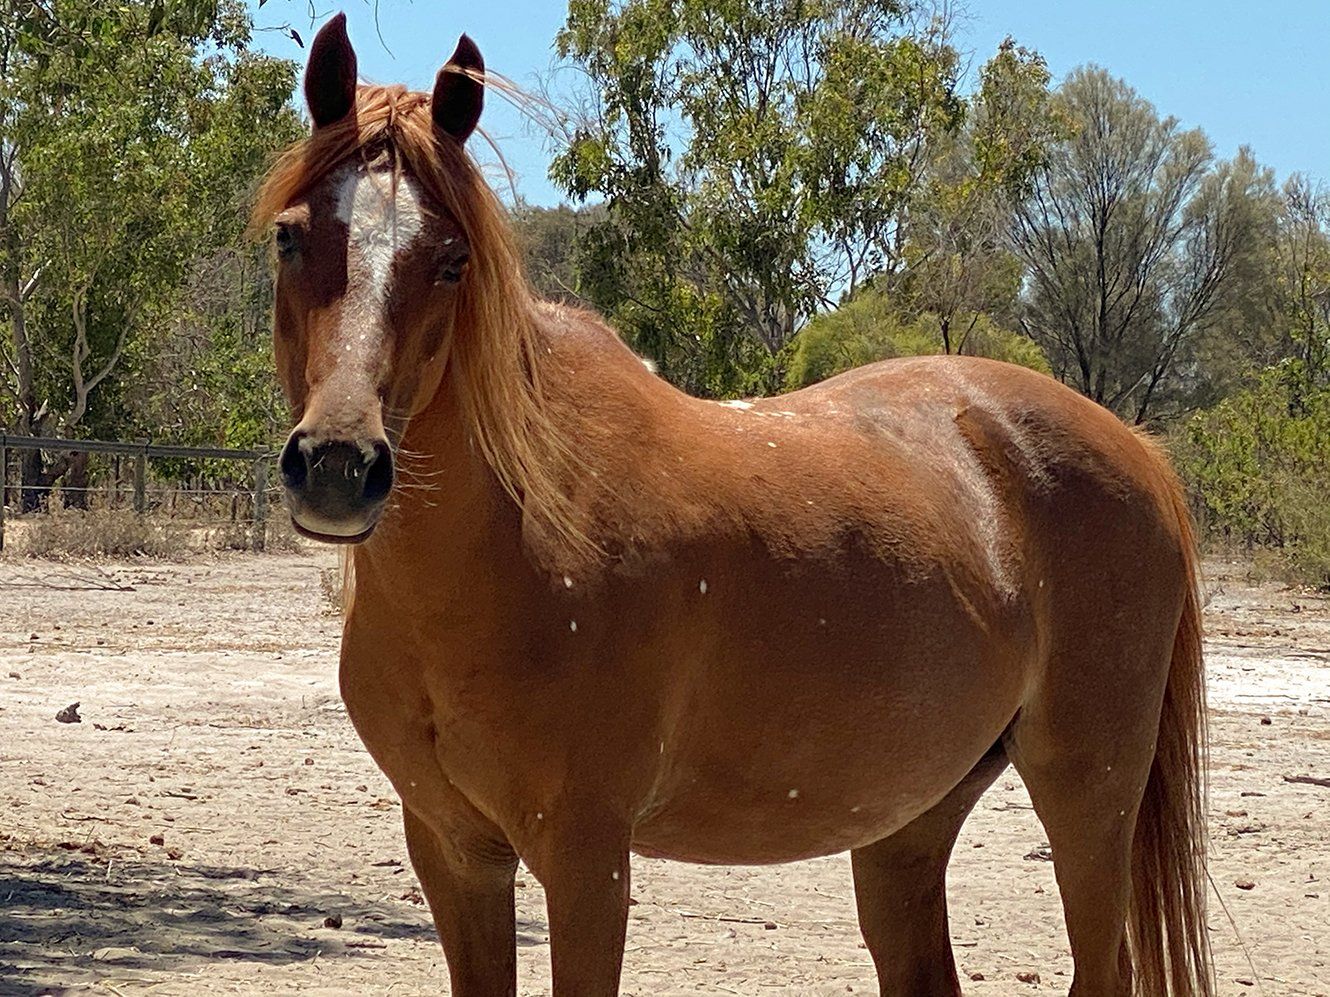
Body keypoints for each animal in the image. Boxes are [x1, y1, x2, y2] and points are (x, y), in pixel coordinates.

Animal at [254, 14, 1214, 995]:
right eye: (291, 238)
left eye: (451, 261)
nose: (338, 464)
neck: (511, 545)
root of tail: (1137, 449)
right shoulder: (454, 849)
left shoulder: (584, 854)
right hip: (912, 818)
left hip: (1089, 798)